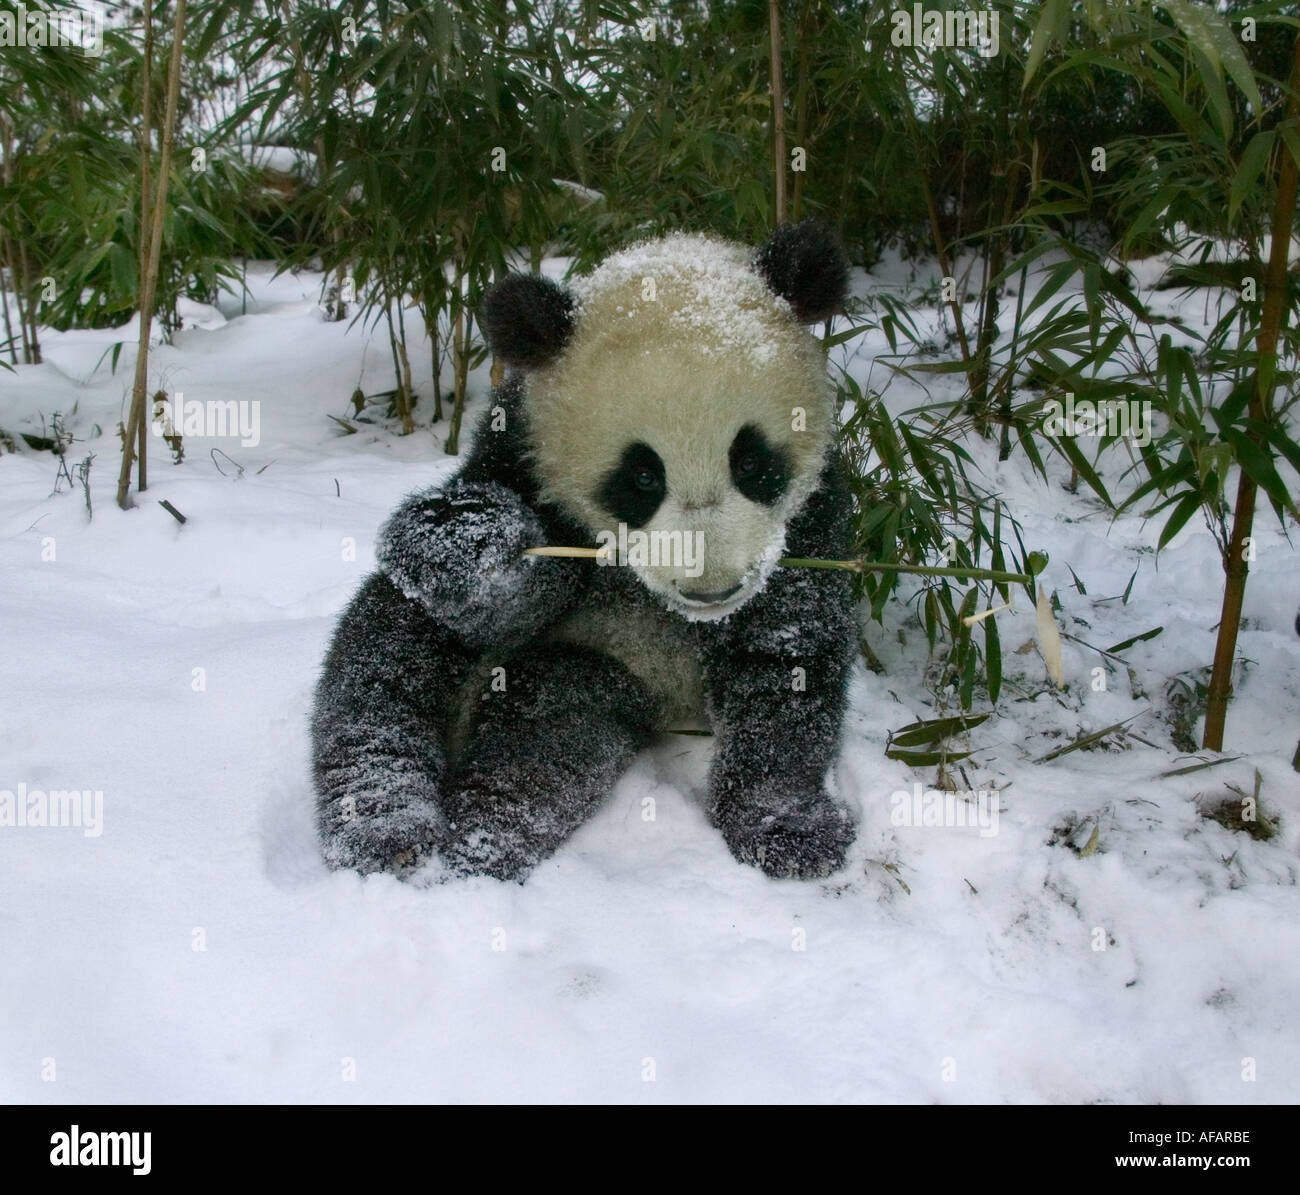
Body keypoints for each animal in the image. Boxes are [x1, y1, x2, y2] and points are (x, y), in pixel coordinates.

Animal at [311, 220, 858, 882]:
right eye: (642, 476)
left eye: (750, 462)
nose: (713, 590)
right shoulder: (521, 453)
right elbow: (493, 568)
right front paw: (481, 554)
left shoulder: (812, 520)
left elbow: (787, 662)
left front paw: (788, 829)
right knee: (382, 662)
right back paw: (383, 823)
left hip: (591, 678)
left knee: (546, 746)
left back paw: (485, 838)